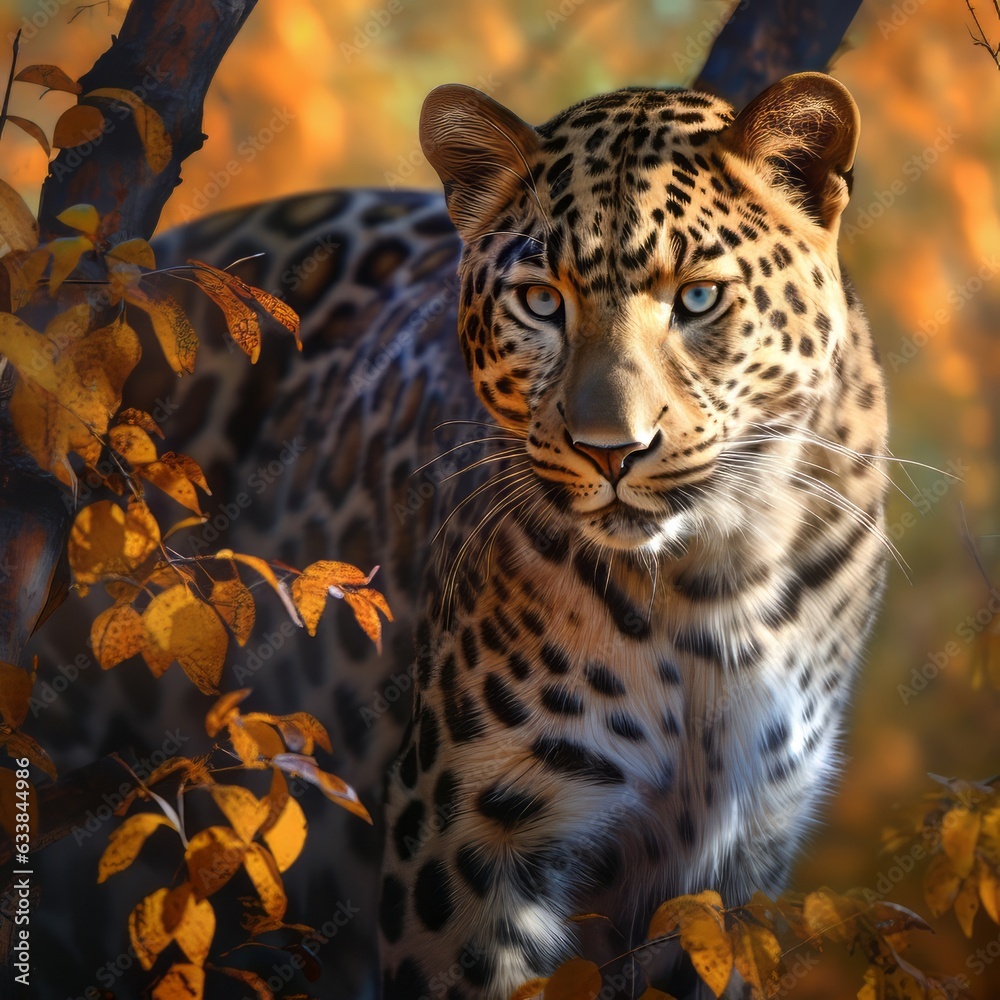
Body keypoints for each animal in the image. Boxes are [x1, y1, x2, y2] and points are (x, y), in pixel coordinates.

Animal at [22, 72, 888, 1000]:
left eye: (698, 297)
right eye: (542, 301)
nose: (611, 450)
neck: (710, 577)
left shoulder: (735, 866)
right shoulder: (472, 831)